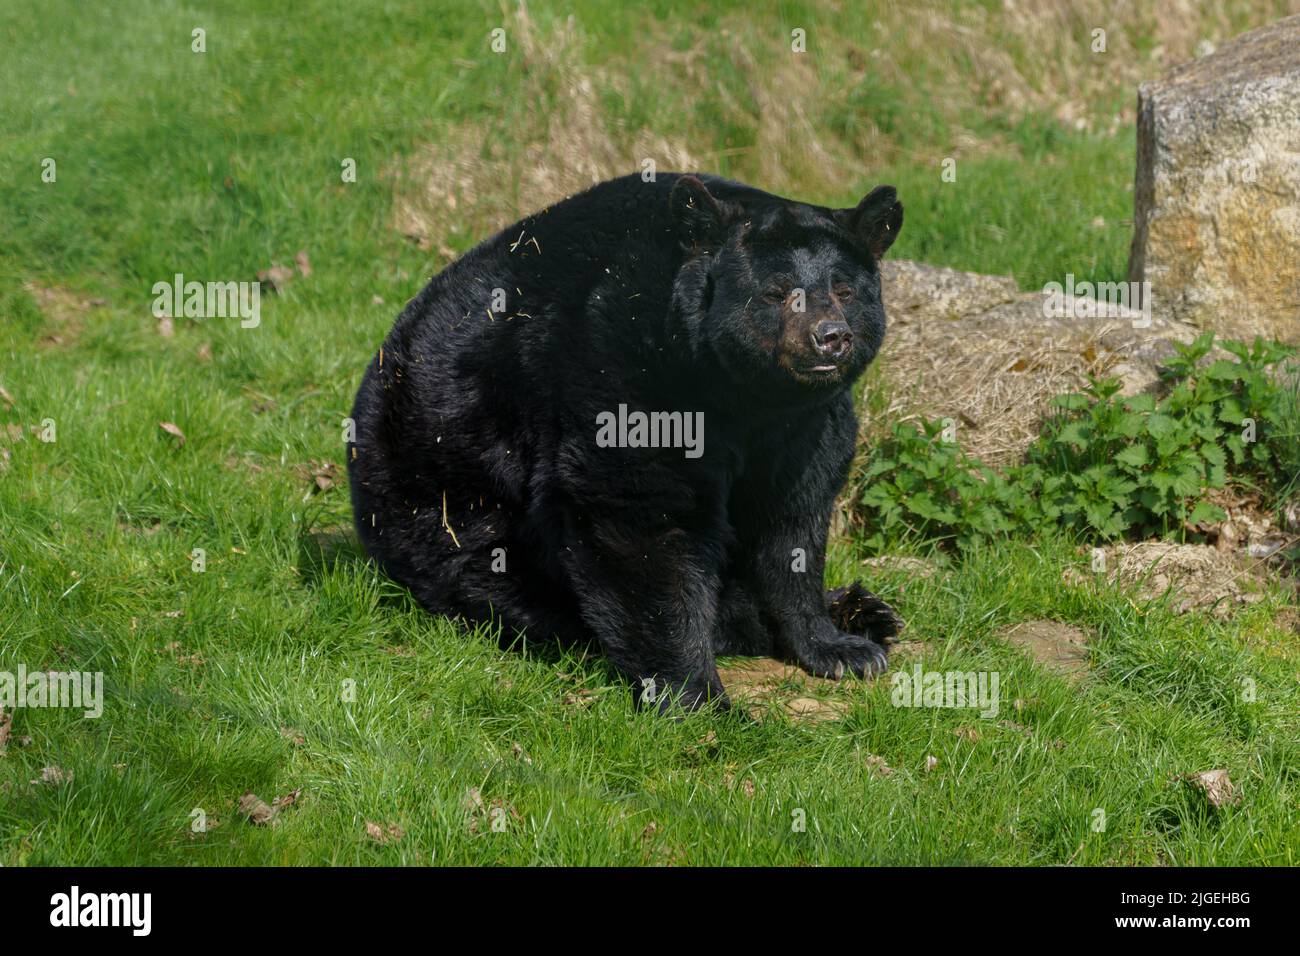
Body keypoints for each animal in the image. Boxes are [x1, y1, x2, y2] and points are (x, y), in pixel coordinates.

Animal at [347, 172, 904, 712]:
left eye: (844, 291)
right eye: (776, 292)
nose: (829, 337)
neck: (743, 395)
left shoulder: (806, 422)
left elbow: (794, 520)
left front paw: (838, 649)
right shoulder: (625, 357)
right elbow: (642, 512)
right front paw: (698, 698)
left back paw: (866, 609)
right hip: (447, 512)